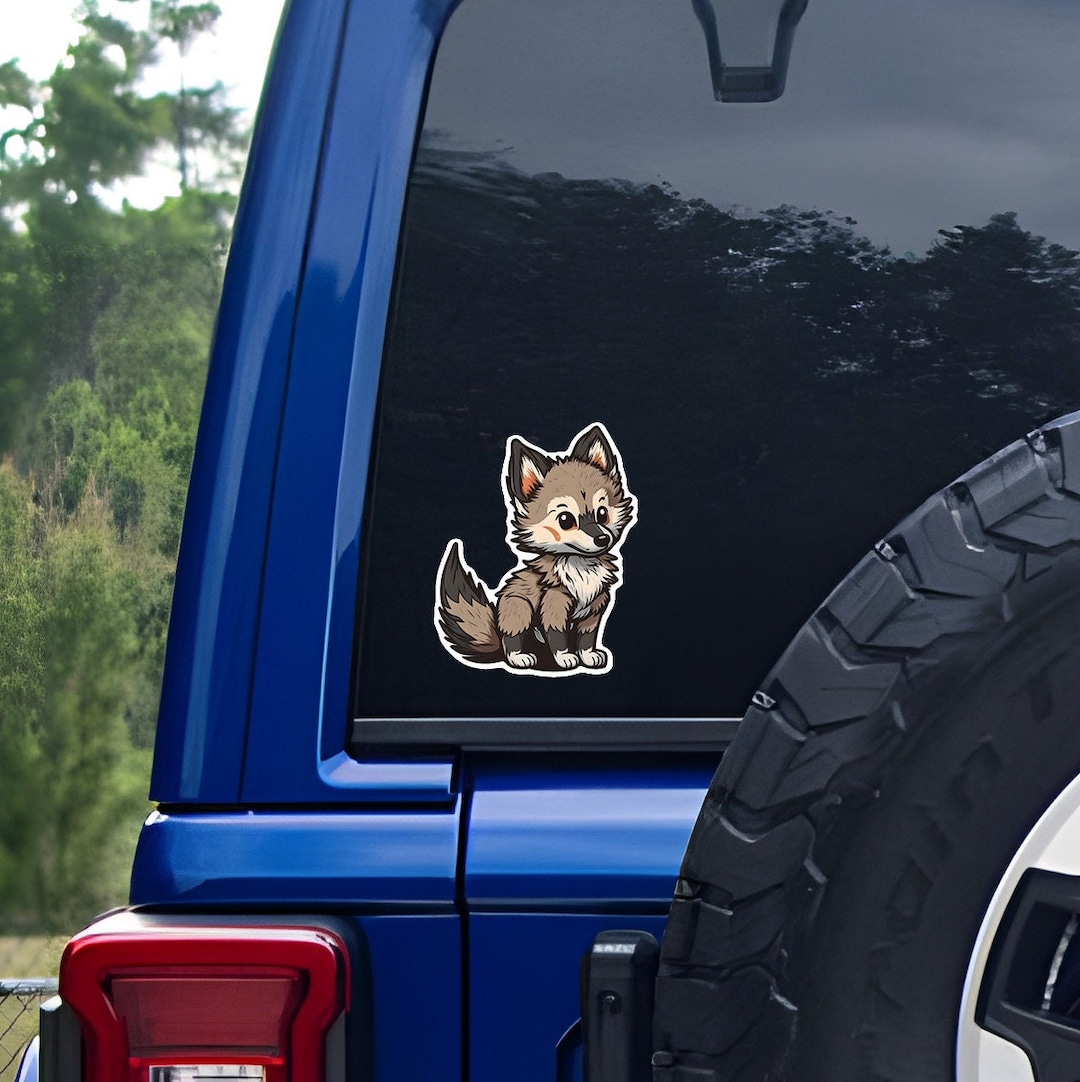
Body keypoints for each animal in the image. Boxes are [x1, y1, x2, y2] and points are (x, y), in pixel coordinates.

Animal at [435, 423, 635, 675]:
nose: (601, 538)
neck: (581, 566)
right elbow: (558, 638)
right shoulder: (554, 606)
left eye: (602, 513)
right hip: (518, 607)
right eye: (565, 520)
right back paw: (520, 657)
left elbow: (587, 638)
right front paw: (565, 658)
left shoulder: (594, 610)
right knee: (511, 641)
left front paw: (588, 656)